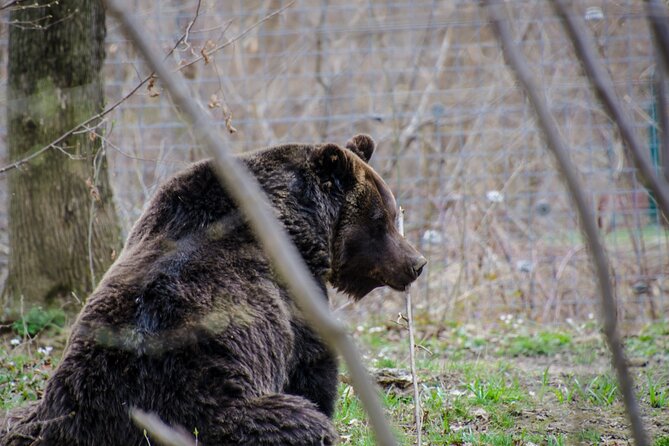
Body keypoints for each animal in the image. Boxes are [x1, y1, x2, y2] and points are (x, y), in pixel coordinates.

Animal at [1, 134, 426, 446]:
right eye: (381, 219)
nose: (416, 263)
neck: (302, 223)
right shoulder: (292, 290)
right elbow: (312, 365)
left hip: (40, 416)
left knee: (15, 421)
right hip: (204, 408)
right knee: (292, 422)